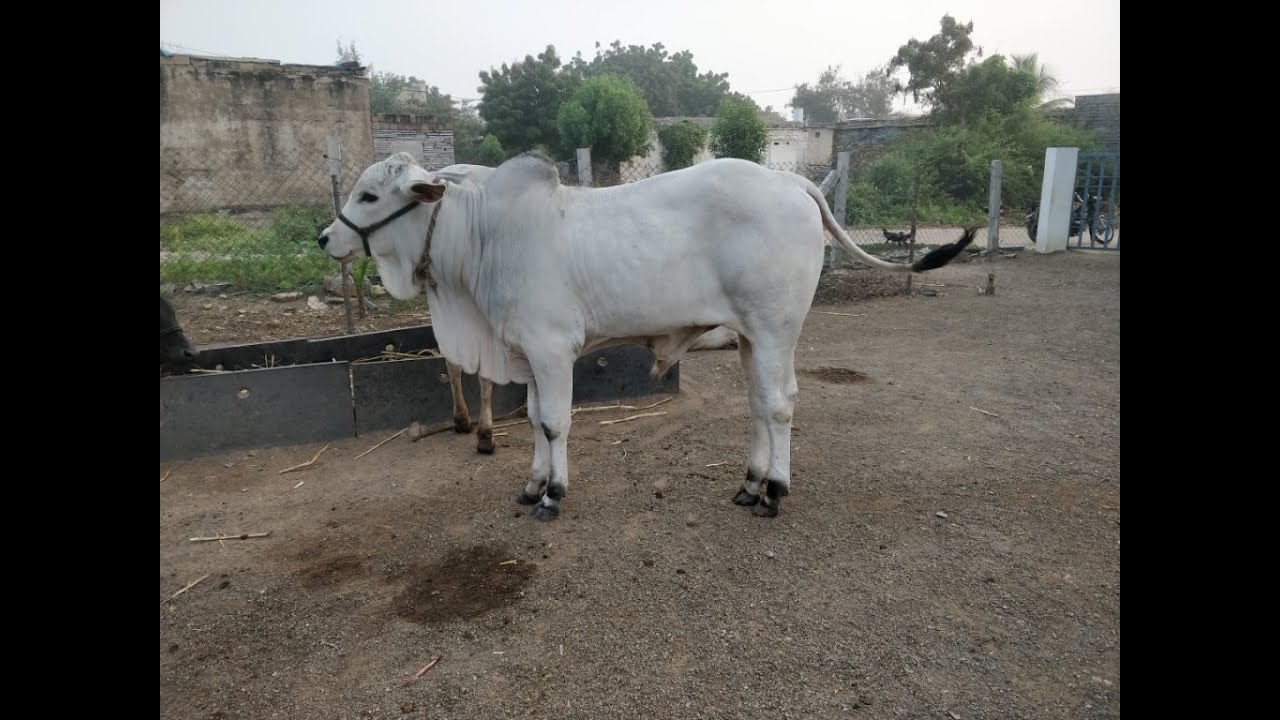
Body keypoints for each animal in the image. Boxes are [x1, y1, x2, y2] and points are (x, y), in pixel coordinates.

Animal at [317, 152, 973, 521]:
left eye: (370, 195)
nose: (326, 238)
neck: (484, 237)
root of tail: (792, 185)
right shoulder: (527, 355)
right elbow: (531, 419)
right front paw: (531, 485)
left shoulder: (552, 351)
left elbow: (554, 423)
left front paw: (554, 493)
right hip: (749, 339)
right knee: (760, 405)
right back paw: (750, 483)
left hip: (775, 329)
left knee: (782, 405)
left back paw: (775, 491)